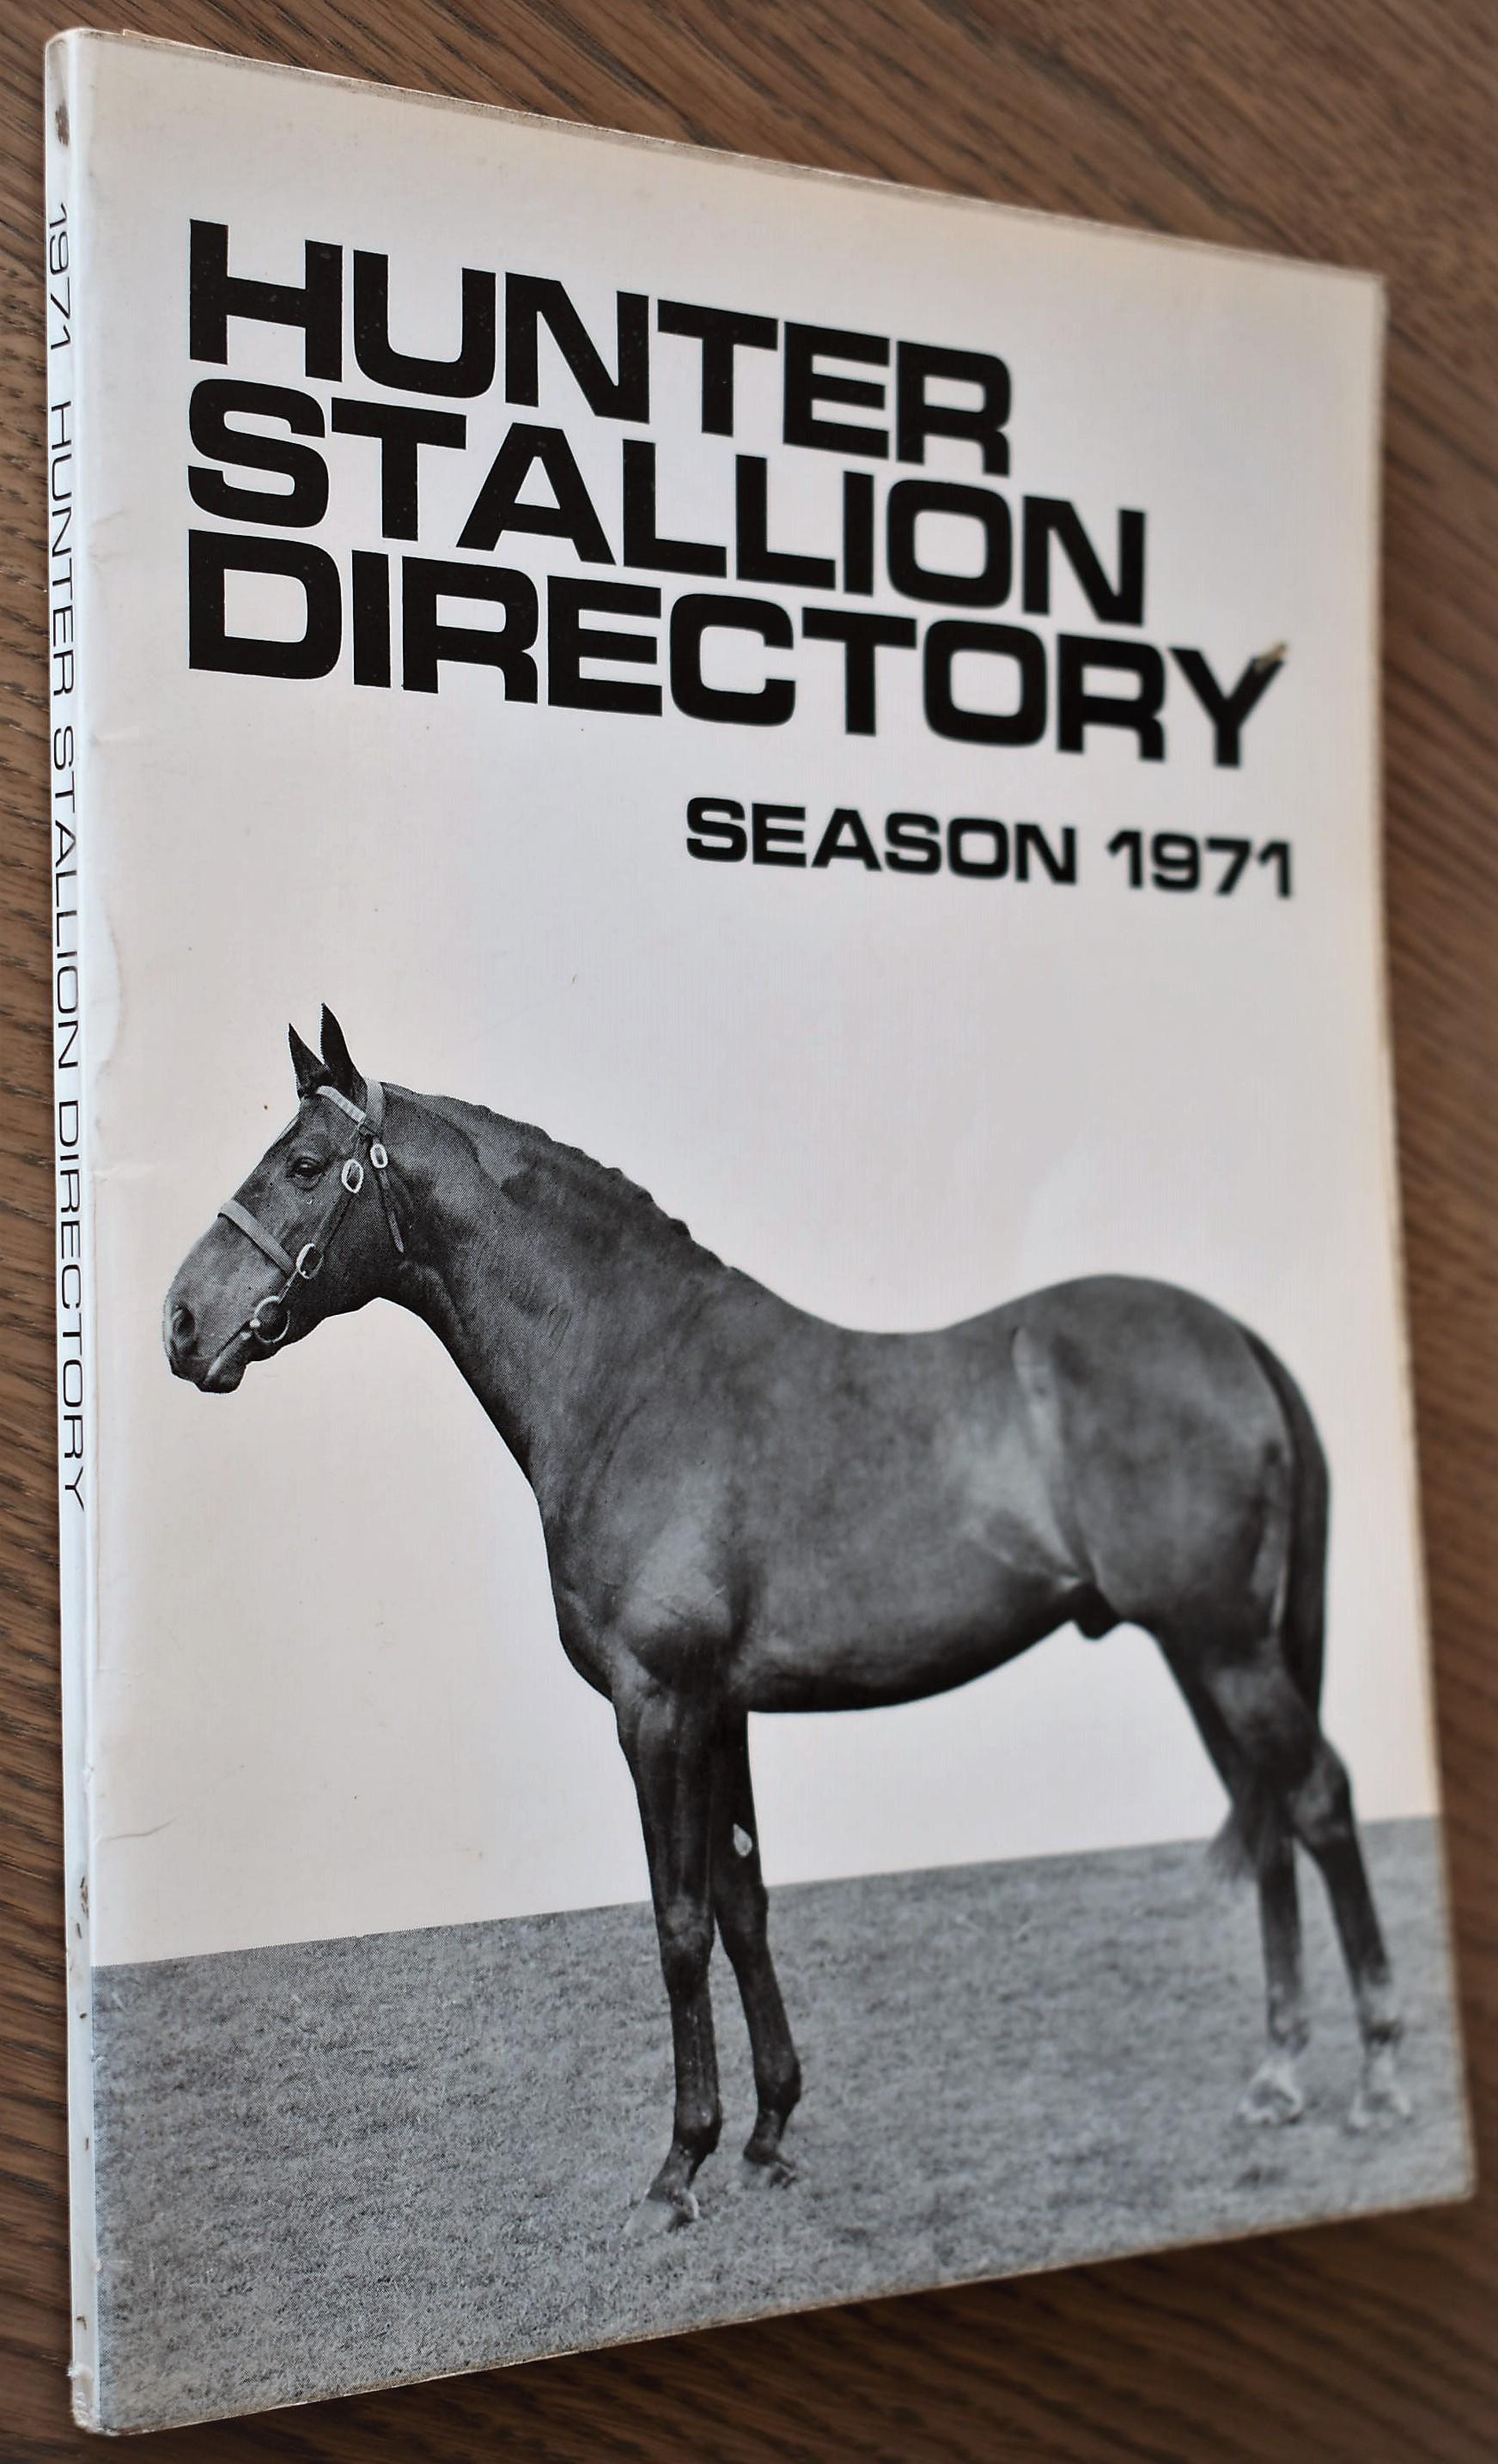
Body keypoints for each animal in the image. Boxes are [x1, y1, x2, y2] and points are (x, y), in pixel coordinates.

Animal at [163, 1008, 1411, 2232]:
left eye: (305, 1165)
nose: (180, 1322)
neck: (630, 1376)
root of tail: (1233, 1341)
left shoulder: (657, 1706)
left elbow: (677, 1921)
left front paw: (680, 2164)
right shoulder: (722, 1711)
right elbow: (744, 1902)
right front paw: (767, 2134)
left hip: (1223, 1645)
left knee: (1317, 1797)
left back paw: (1378, 2075)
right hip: (1204, 1654)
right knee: (1269, 1820)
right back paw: (1277, 2077)